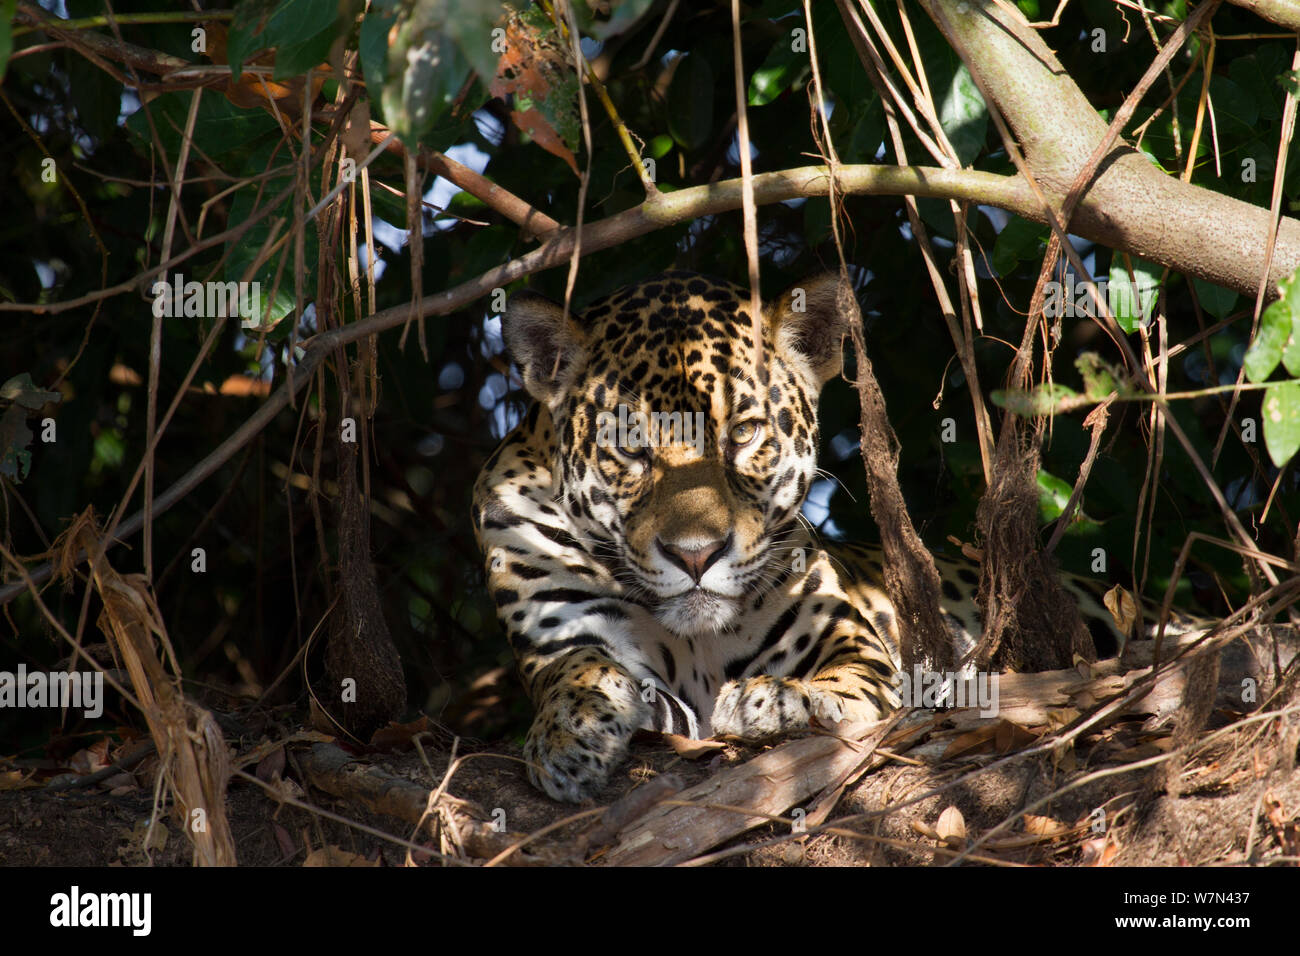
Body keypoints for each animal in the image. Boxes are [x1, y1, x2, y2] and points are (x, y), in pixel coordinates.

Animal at [472, 270, 1122, 802]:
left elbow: (849, 681)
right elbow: (577, 668)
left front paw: (778, 700)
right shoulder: (562, 625)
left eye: (743, 432)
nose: (695, 556)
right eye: (630, 447)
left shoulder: (844, 638)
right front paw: (569, 734)